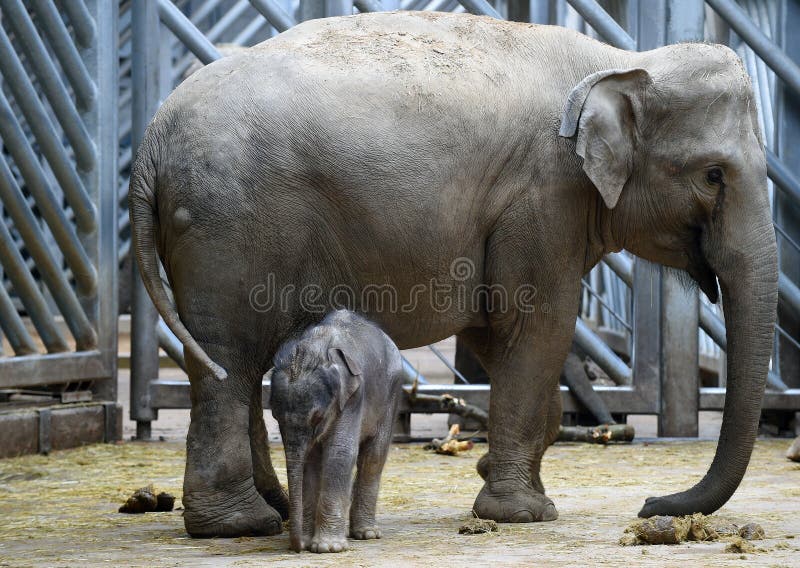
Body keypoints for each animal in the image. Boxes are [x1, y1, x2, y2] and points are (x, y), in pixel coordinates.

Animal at [269, 309, 404, 553]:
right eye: (275, 416)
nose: (297, 547)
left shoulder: (353, 397)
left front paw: (327, 548)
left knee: (373, 457)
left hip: (392, 392)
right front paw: (308, 541)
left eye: (317, 417)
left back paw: (366, 534)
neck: (313, 349)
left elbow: (339, 453)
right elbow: (310, 461)